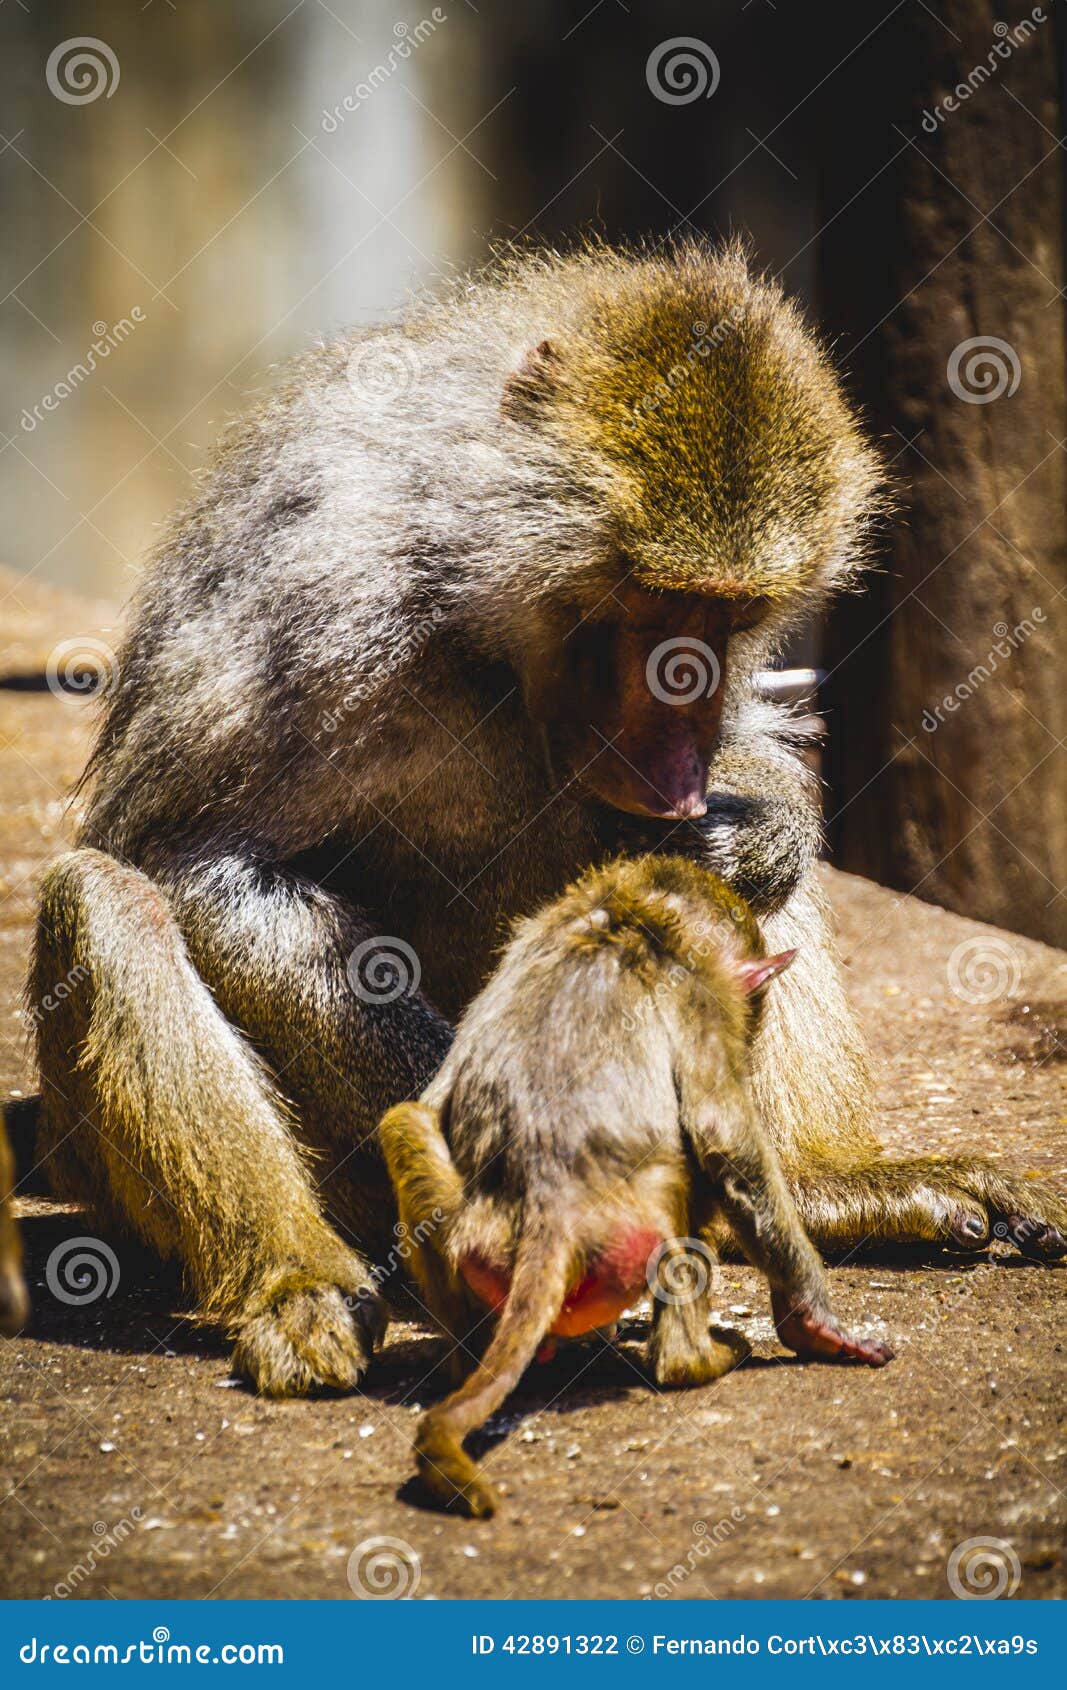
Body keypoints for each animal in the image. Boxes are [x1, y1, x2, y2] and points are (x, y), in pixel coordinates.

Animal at [27, 238, 1065, 1398]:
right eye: (653, 608)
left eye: (728, 619)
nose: (679, 738)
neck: (477, 599)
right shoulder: (327, 589)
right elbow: (196, 859)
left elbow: (747, 795)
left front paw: (758, 827)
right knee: (107, 904)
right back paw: (292, 1284)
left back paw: (824, 1186)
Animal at [380, 855, 894, 1519]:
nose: (756, 1030)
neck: (628, 916)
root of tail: (548, 1210)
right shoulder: (701, 999)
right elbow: (722, 1140)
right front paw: (810, 1321)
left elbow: (433, 1097)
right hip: (620, 1240)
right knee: (684, 1213)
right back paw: (696, 1361)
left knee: (405, 1123)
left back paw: (470, 1359)